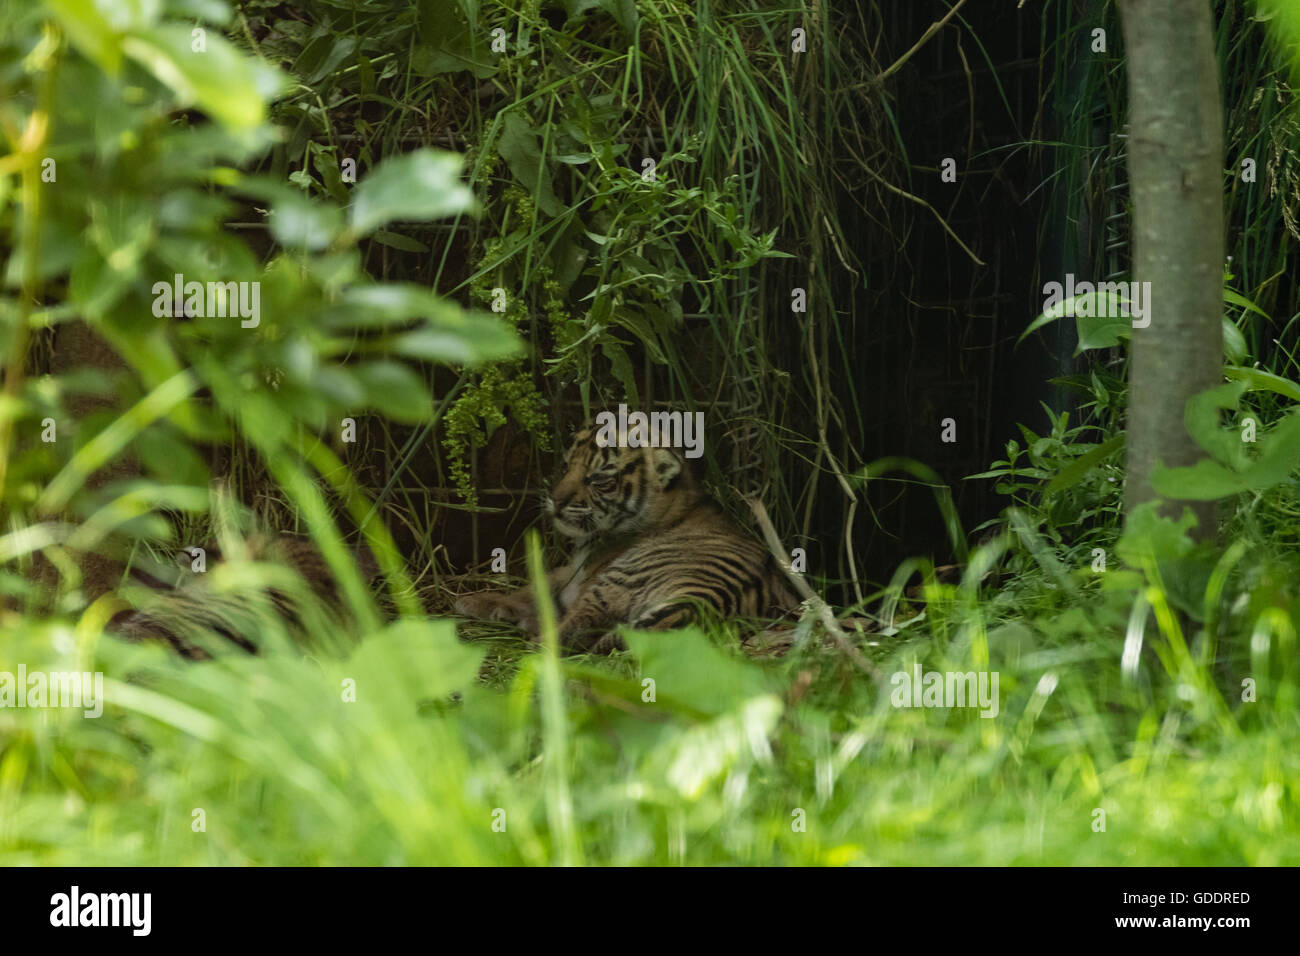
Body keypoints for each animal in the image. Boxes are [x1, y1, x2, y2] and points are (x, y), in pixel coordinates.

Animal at [453, 422, 797, 653]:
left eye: (597, 479)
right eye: (565, 467)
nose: (556, 501)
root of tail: (699, 602)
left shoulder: (583, 577)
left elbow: (539, 586)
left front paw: (475, 603)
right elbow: (534, 584)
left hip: (614, 583)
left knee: (577, 626)